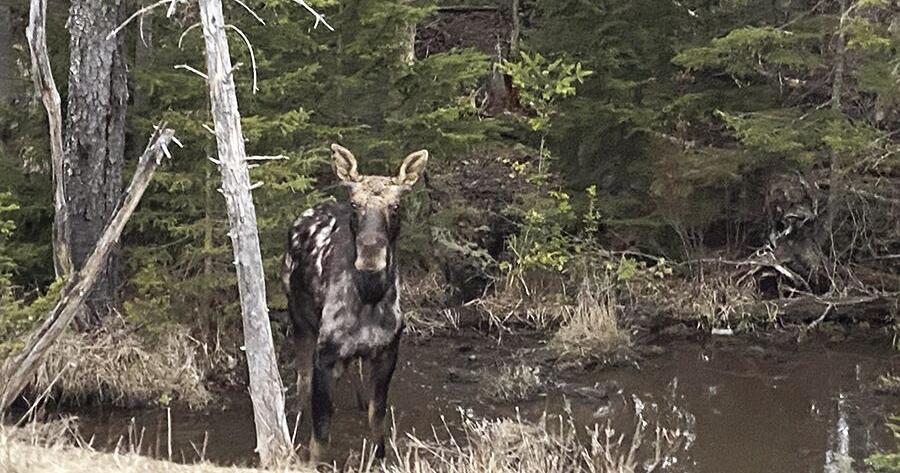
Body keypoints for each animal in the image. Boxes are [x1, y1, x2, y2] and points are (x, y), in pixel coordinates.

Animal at [282, 144, 428, 463]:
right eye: (354, 204)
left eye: (395, 206)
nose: (371, 253)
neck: (369, 298)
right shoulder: (324, 353)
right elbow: (321, 429)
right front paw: (312, 460)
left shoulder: (387, 352)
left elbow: (378, 417)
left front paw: (380, 456)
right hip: (298, 318)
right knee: (302, 379)